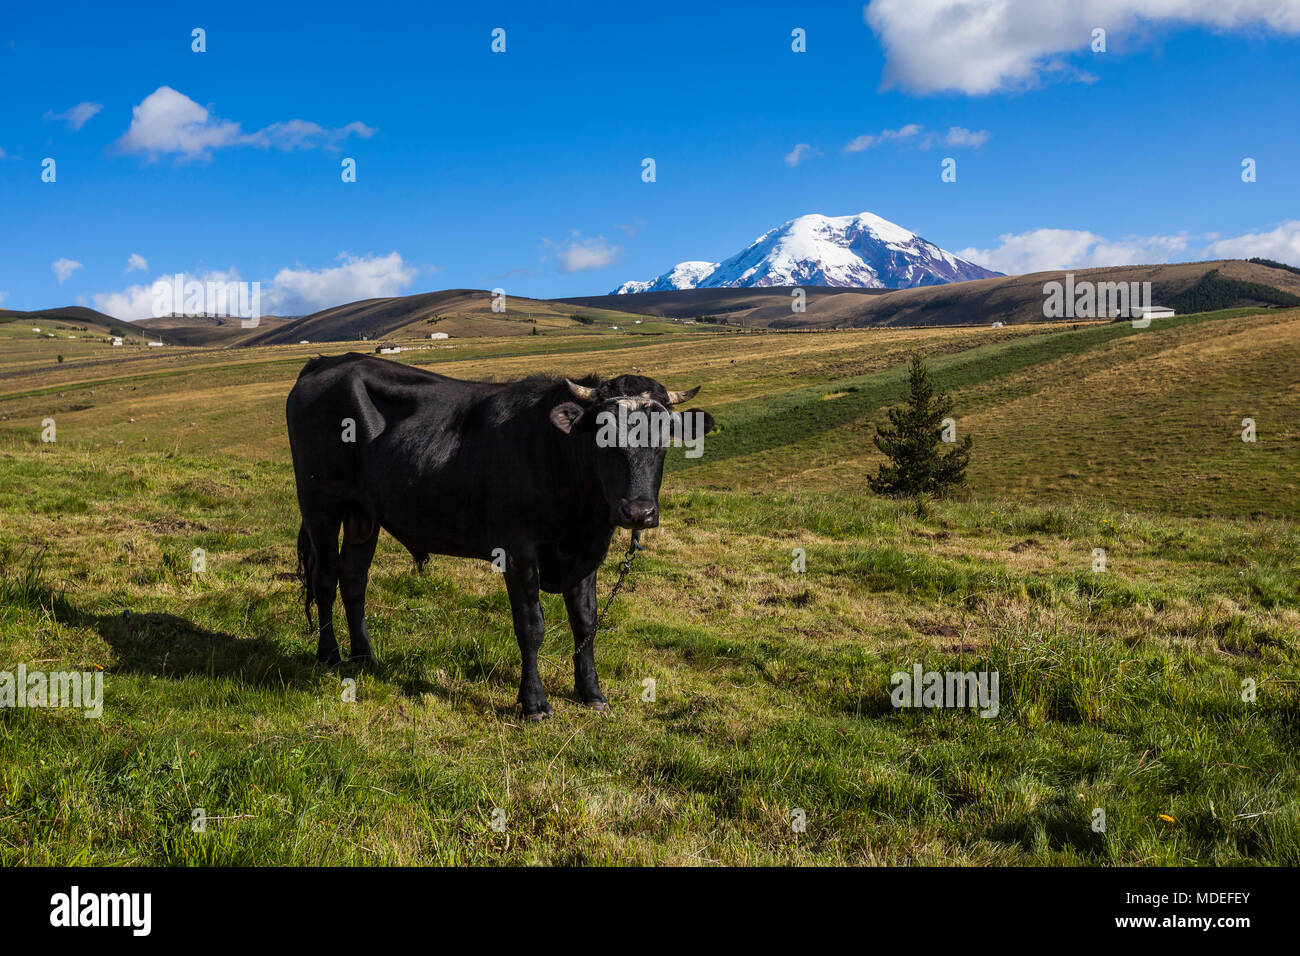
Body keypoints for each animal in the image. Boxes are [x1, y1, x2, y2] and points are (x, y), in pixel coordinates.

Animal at [285, 353, 714, 719]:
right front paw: (534, 703)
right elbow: (531, 626)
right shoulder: (518, 550)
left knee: (354, 579)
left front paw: (591, 693)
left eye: (665, 435)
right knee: (325, 579)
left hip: (363, 516)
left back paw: (365, 657)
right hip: (321, 505)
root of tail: (327, 362)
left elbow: (586, 623)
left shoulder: (587, 553)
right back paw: (329, 655)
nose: (638, 512)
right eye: (603, 434)